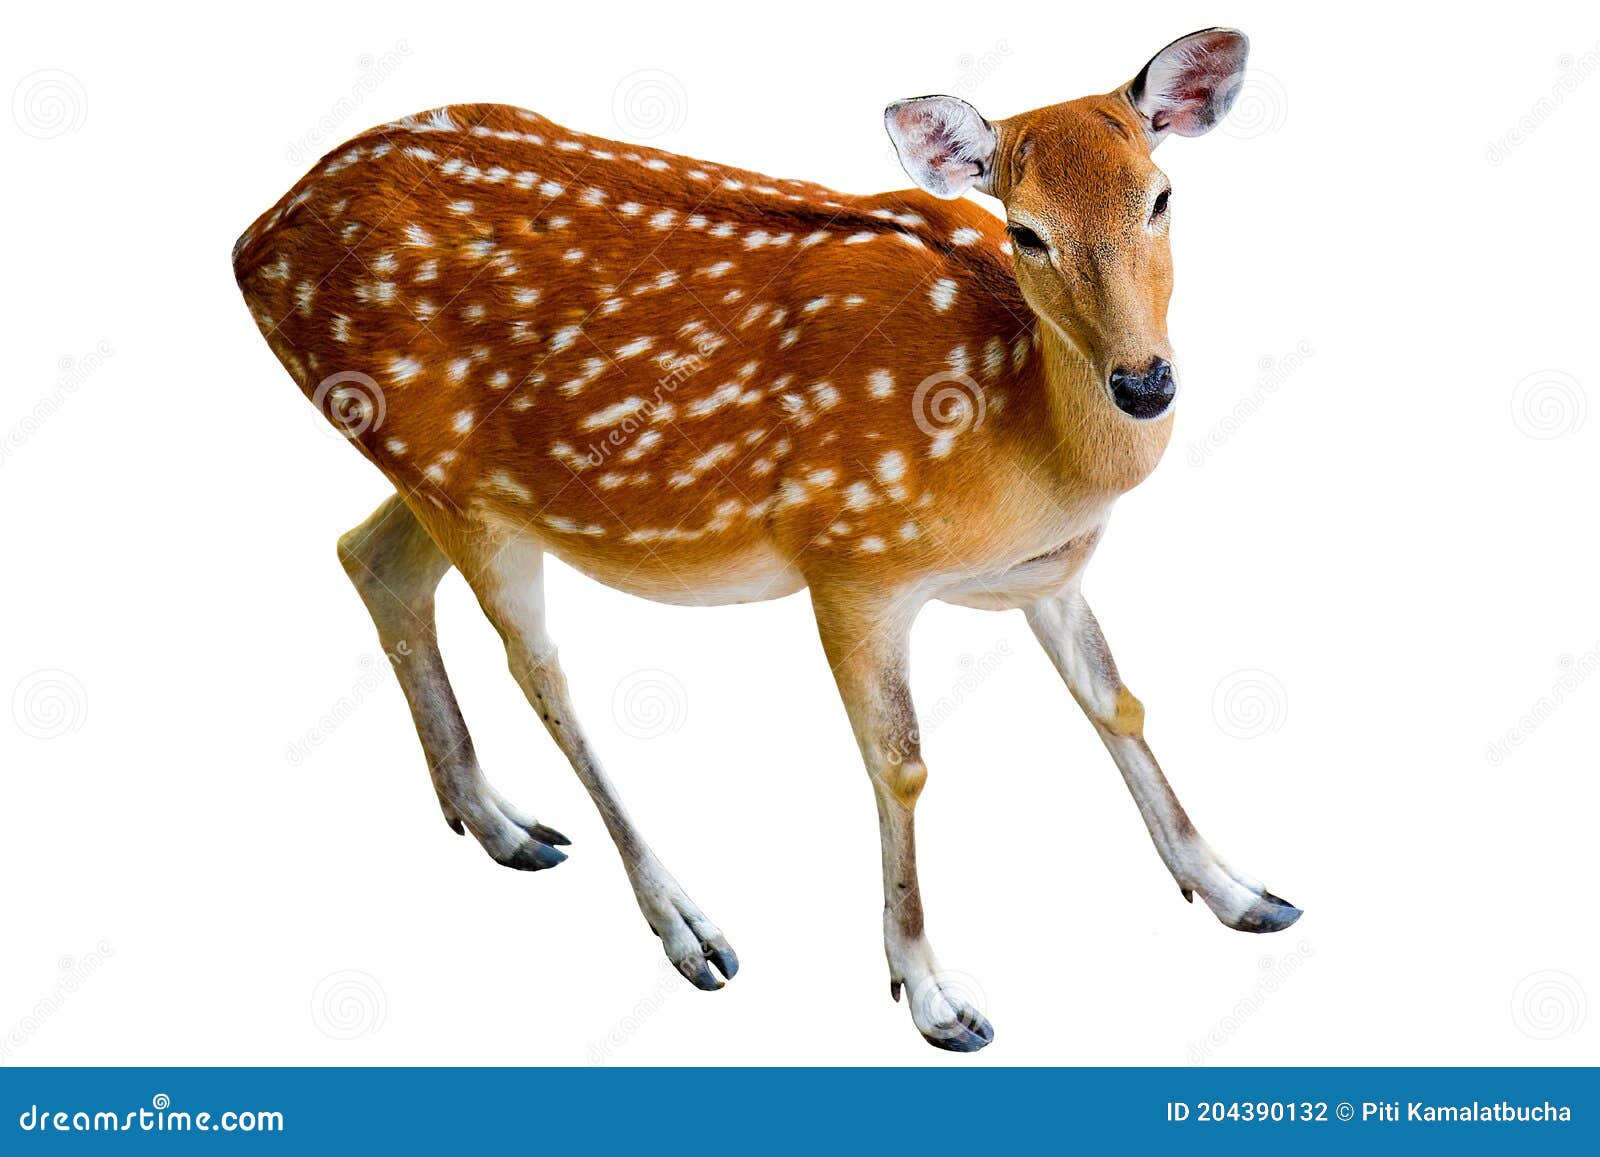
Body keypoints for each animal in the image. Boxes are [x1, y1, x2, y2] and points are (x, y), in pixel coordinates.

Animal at [232, 27, 1299, 1053]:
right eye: (1025, 229)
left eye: (1161, 198)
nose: (1145, 381)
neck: (1025, 443)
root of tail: (253, 238)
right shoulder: (853, 560)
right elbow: (901, 764)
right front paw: (930, 995)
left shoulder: (1045, 573)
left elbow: (1117, 702)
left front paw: (1242, 890)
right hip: (455, 483)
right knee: (539, 670)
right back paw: (685, 925)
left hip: (456, 482)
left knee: (368, 558)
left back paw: (497, 821)